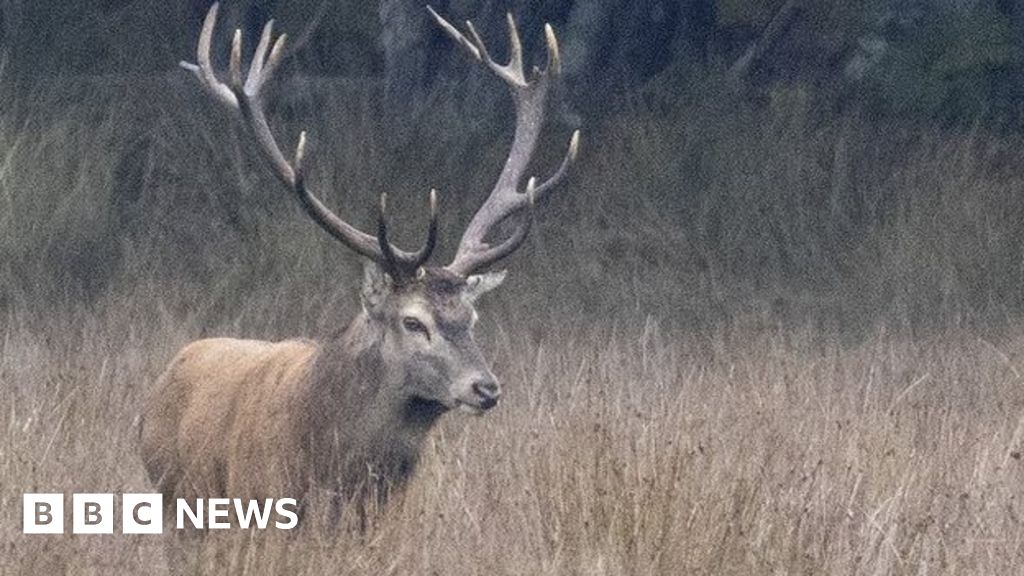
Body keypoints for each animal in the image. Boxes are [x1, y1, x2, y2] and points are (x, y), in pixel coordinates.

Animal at [139, 2, 579, 562]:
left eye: (472, 317)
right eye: (413, 322)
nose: (486, 387)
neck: (338, 474)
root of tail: (160, 386)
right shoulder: (265, 515)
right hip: (180, 507)